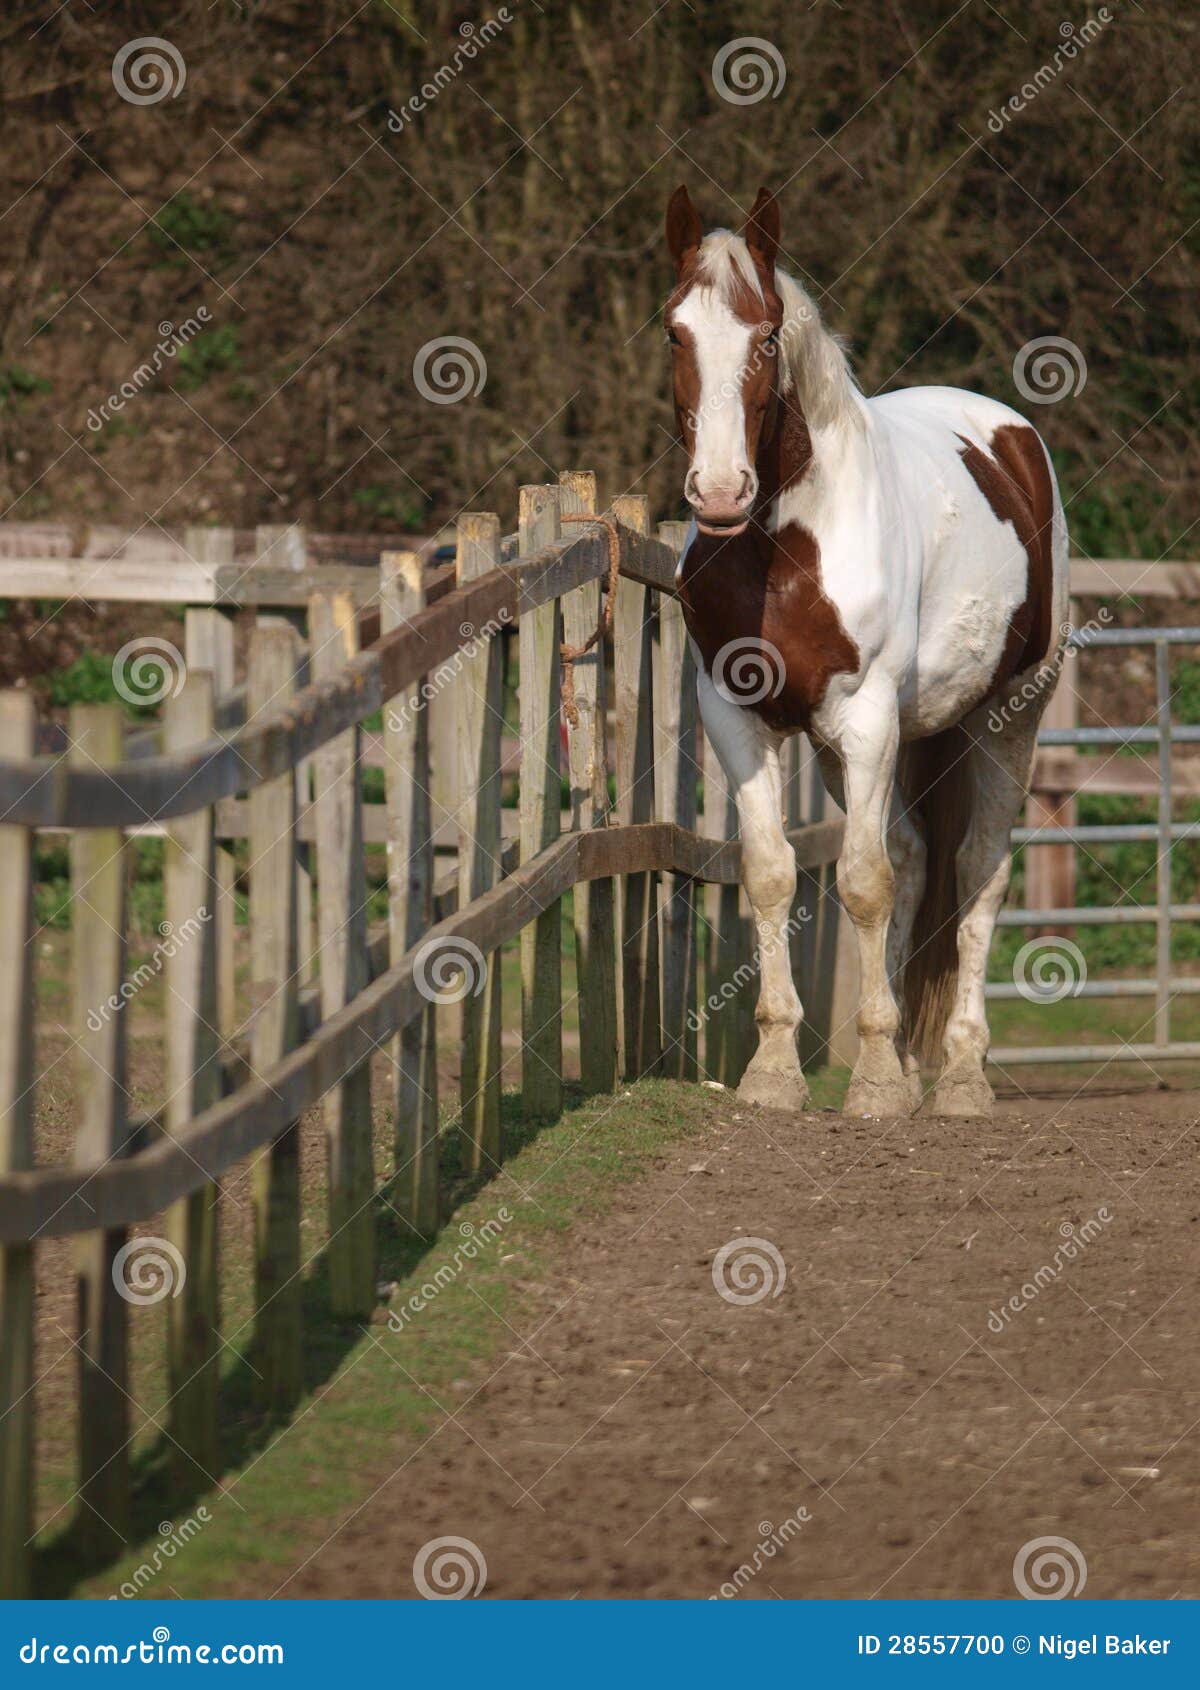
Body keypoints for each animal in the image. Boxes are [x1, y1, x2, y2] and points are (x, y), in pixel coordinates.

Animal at [663, 184, 1069, 1119]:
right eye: (673, 332)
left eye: (766, 336)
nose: (720, 492)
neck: (782, 549)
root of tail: (1009, 435)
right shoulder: (739, 718)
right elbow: (773, 874)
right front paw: (776, 1069)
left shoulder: (867, 714)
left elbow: (862, 881)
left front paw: (877, 1082)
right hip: (876, 742)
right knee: (920, 860)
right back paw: (921, 1065)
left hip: (1005, 718)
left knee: (978, 868)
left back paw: (960, 1075)